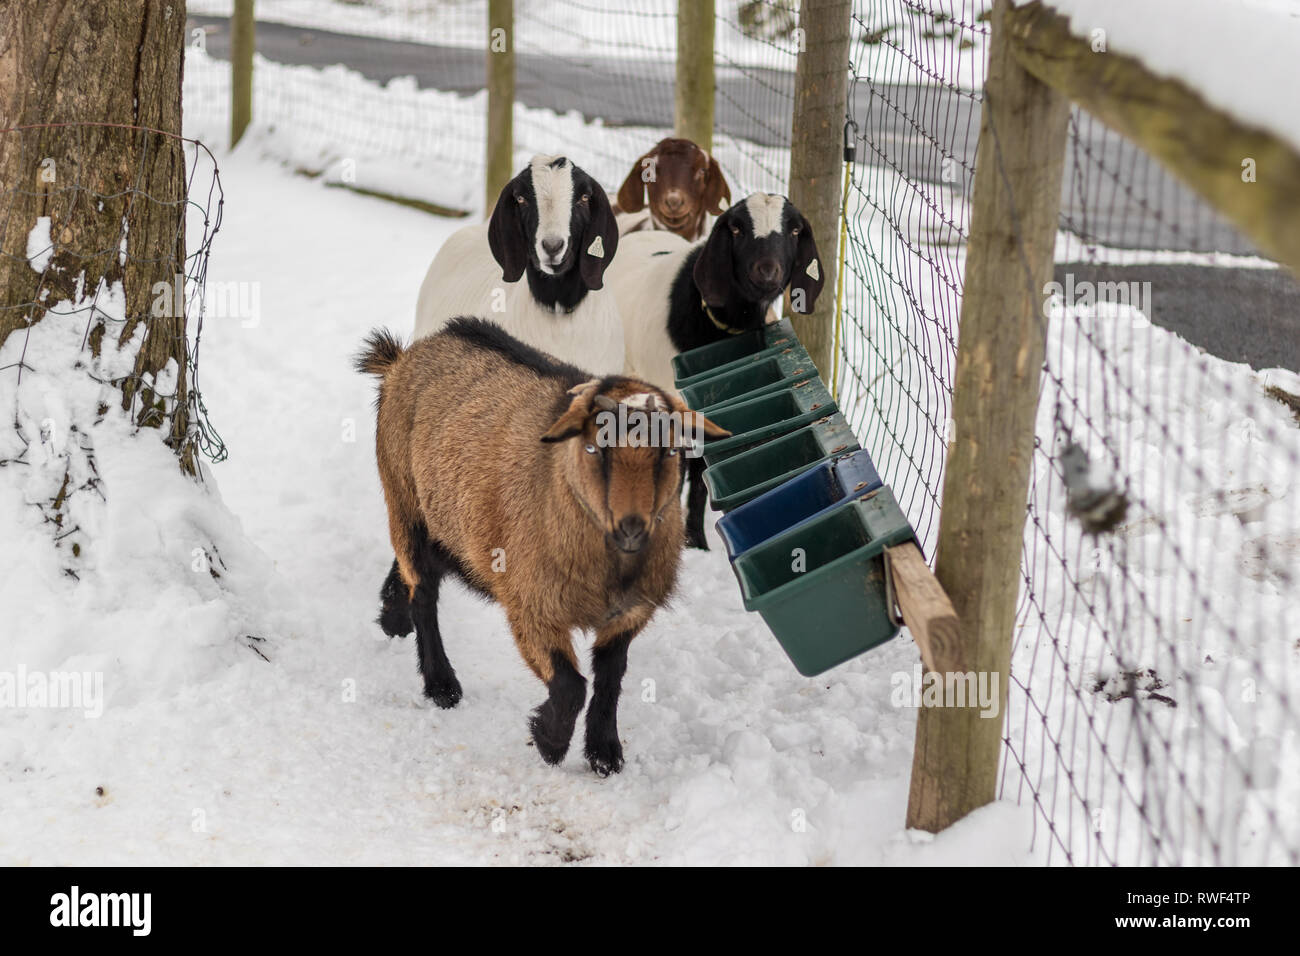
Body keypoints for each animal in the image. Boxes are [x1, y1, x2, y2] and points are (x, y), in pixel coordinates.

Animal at [357, 317, 728, 775]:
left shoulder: (629, 614)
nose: (632, 527)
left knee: (422, 572)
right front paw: (549, 741)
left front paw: (604, 754)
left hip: (444, 519)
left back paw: (392, 617)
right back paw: (442, 685)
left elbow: (611, 676)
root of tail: (401, 359)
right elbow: (570, 684)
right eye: (595, 446)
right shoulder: (531, 605)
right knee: (424, 593)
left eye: (669, 450)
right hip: (404, 498)